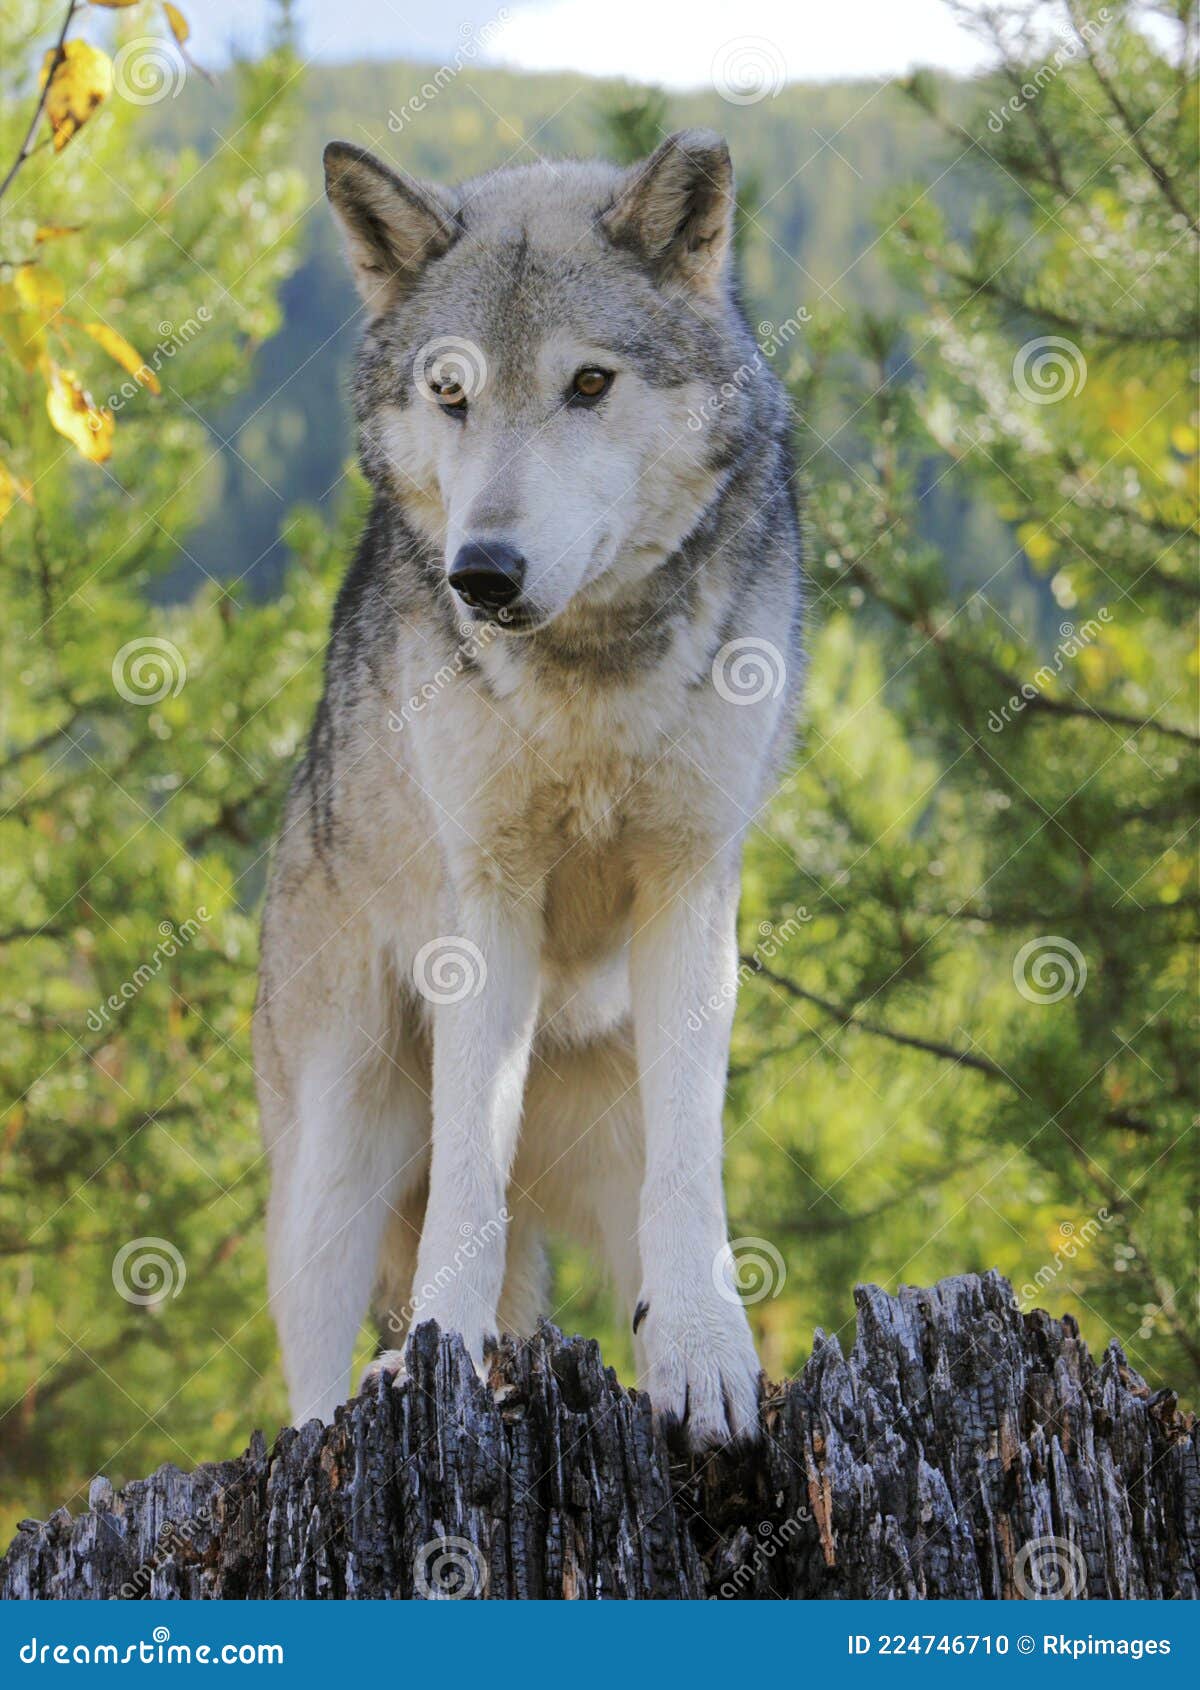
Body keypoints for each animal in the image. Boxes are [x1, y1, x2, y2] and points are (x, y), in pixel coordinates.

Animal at [253, 127, 804, 1449]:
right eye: (451, 392)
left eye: (589, 385)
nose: (483, 572)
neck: (587, 664)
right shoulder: (485, 901)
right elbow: (468, 1176)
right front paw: (442, 1358)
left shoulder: (691, 879)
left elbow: (695, 1176)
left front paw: (708, 1355)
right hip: (338, 1156)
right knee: (314, 1369)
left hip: (602, 1143)